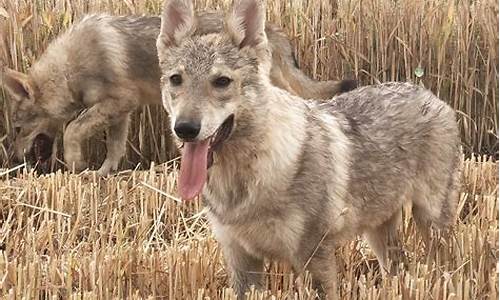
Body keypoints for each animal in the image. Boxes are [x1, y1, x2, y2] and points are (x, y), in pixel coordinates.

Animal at [0, 12, 356, 176]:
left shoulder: (119, 101)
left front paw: (76, 165)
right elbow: (114, 149)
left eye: (17, 130)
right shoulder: (121, 112)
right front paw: (102, 174)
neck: (69, 69)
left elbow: (73, 129)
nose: (14, 160)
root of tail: (274, 32)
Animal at [156, 0, 460, 296]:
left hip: (432, 222)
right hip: (379, 233)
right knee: (399, 268)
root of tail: (427, 92)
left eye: (221, 81)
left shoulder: (315, 257)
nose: (185, 128)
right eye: (176, 80)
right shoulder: (240, 259)